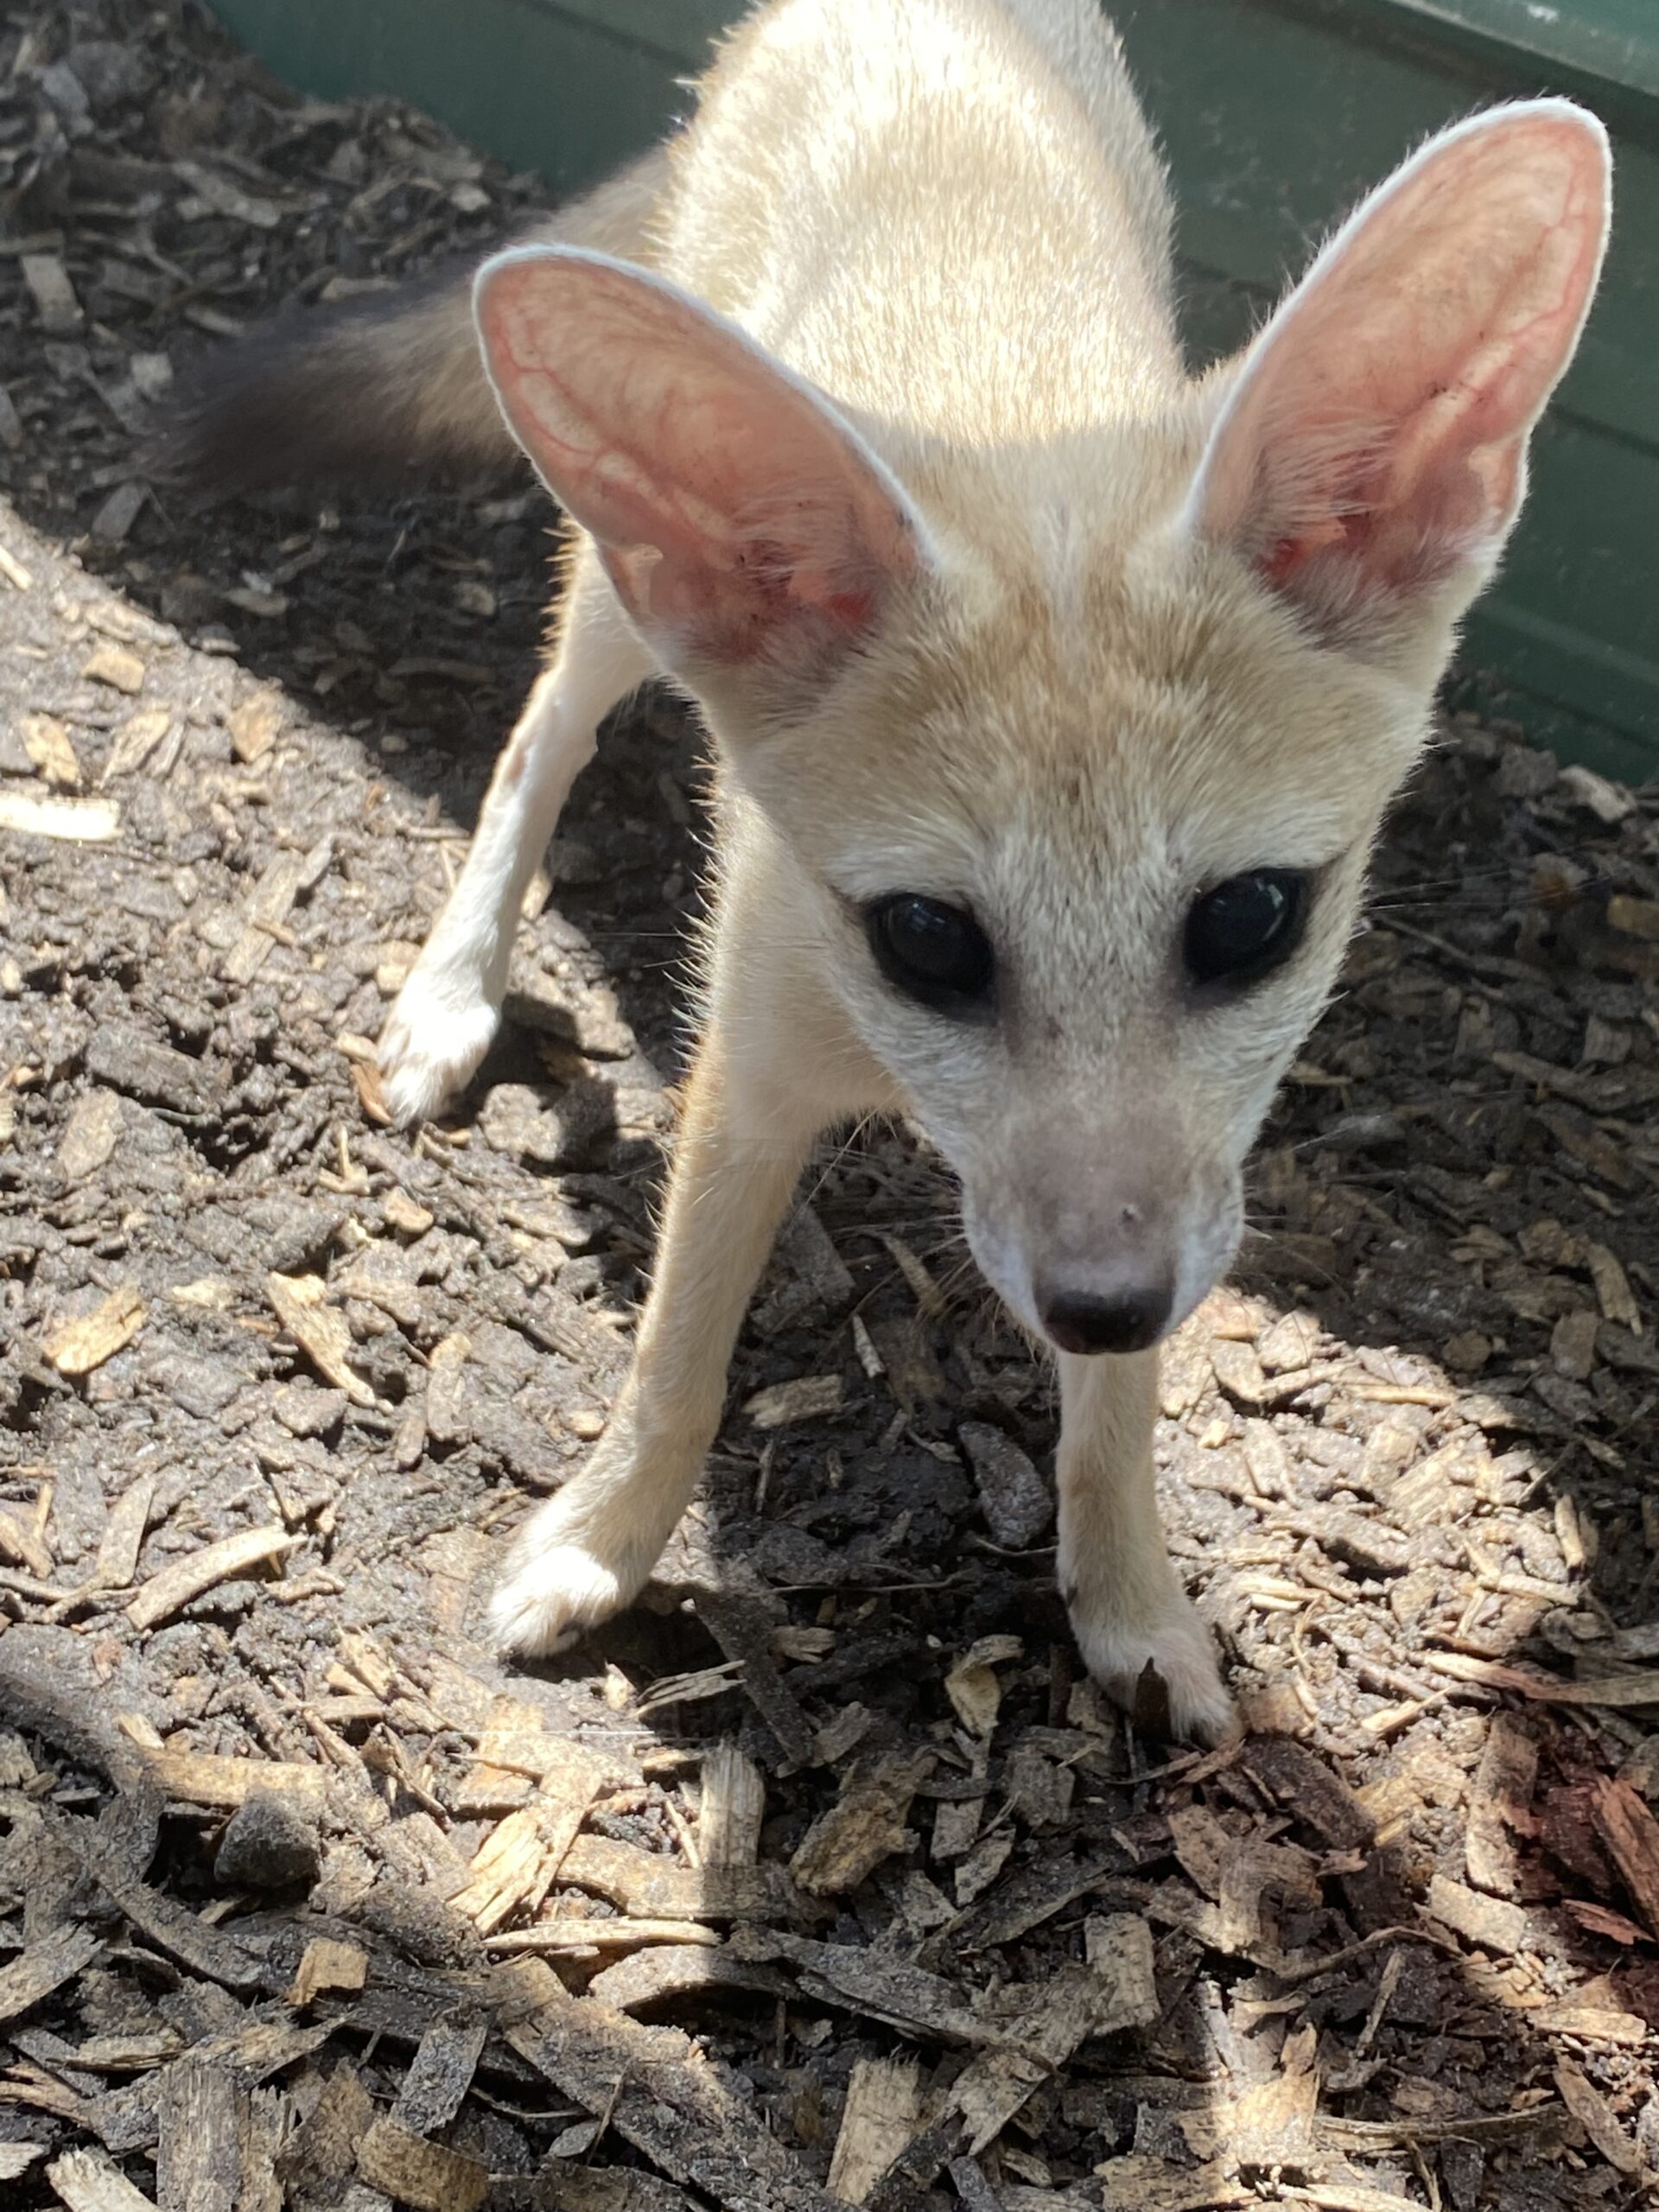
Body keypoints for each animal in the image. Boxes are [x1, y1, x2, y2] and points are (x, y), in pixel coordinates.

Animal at [176, 0, 1611, 1741]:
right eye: (926, 938)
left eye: (1252, 918)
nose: (1104, 1304)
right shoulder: (743, 1085)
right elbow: (675, 1366)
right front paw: (598, 1548)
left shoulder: (1165, 1190)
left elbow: (1115, 1429)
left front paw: (1134, 1609)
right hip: (621, 609)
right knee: (536, 743)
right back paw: (455, 991)